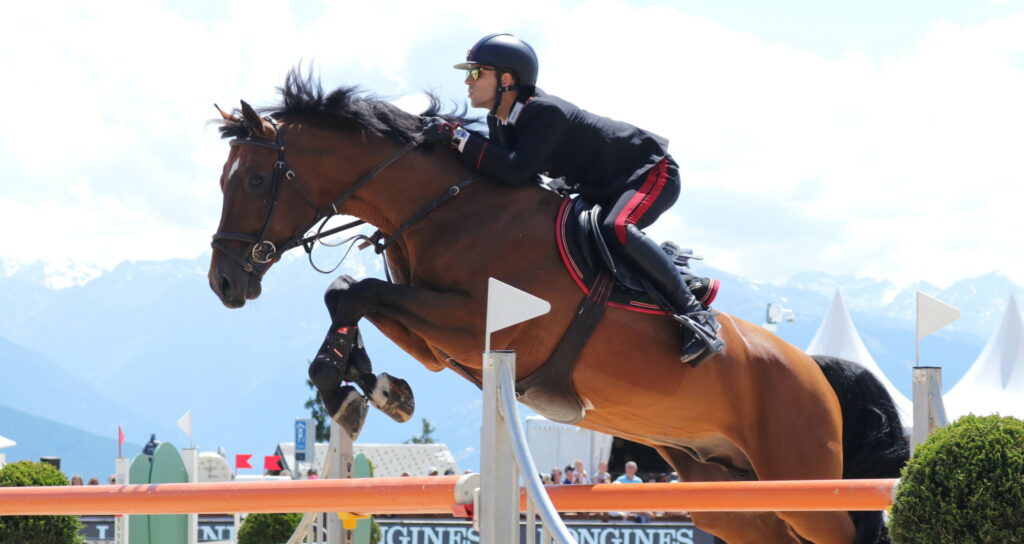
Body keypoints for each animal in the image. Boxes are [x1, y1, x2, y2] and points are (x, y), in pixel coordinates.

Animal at [208, 69, 908, 544]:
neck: (443, 208)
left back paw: (698, 330)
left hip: (806, 480)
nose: (224, 283)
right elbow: (348, 294)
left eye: (255, 180)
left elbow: (356, 290)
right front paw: (370, 389)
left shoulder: (478, 325)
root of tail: (816, 369)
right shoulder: (439, 342)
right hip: (729, 491)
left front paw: (355, 386)